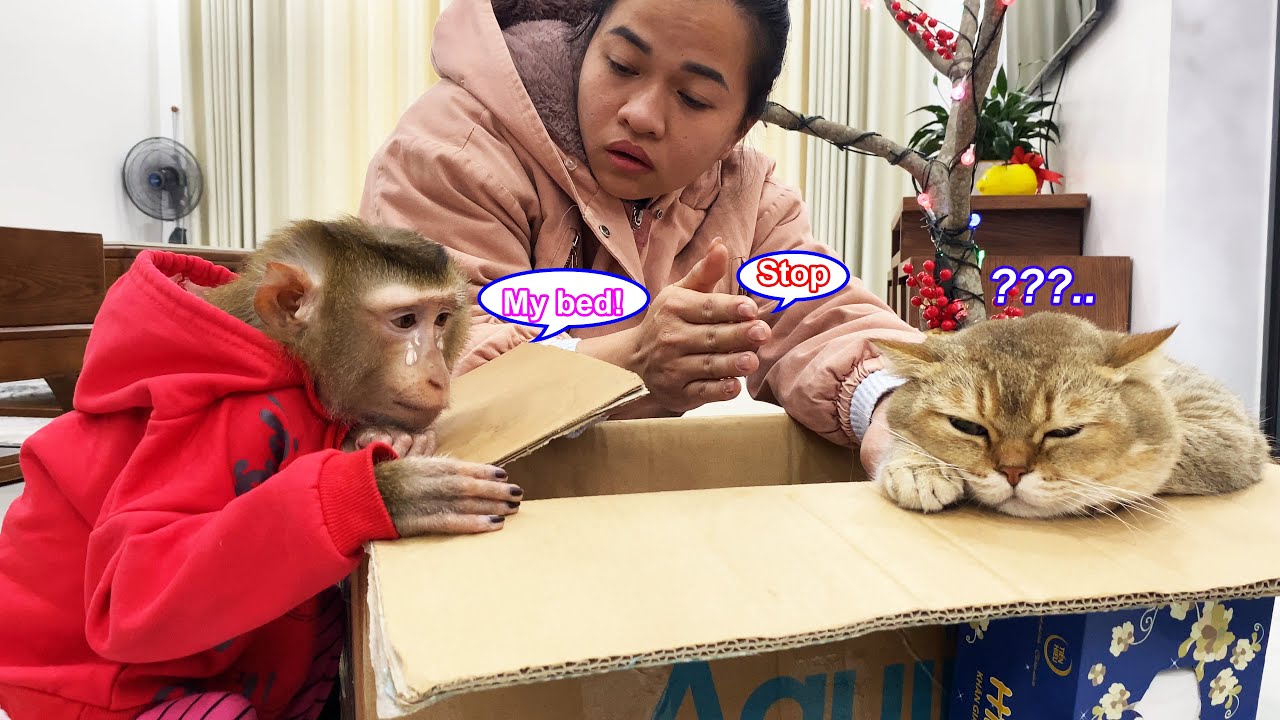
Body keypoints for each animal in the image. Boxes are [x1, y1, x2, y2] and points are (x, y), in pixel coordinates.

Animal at [0, 216, 519, 720]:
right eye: (406, 320)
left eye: (442, 319)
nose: (437, 374)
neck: (283, 356)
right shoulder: (215, 428)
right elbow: (128, 583)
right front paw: (391, 490)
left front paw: (384, 439)